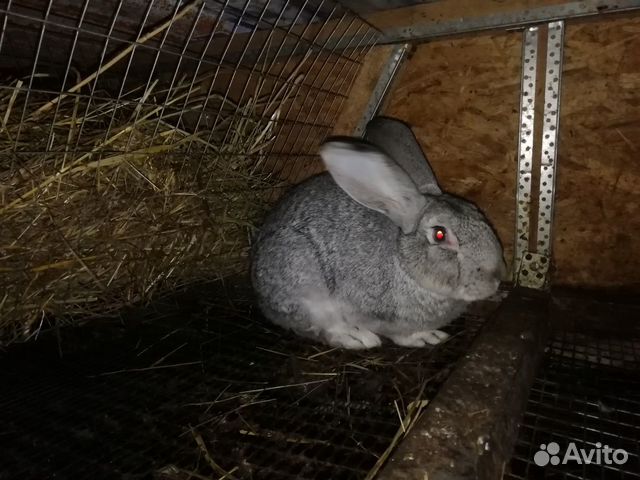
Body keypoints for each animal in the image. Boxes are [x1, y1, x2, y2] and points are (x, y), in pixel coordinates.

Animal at [250, 116, 506, 349]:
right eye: (440, 234)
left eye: (478, 214)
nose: (496, 277)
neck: (403, 263)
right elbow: (400, 335)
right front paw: (423, 339)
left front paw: (432, 335)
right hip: (306, 287)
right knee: (326, 327)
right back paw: (359, 339)